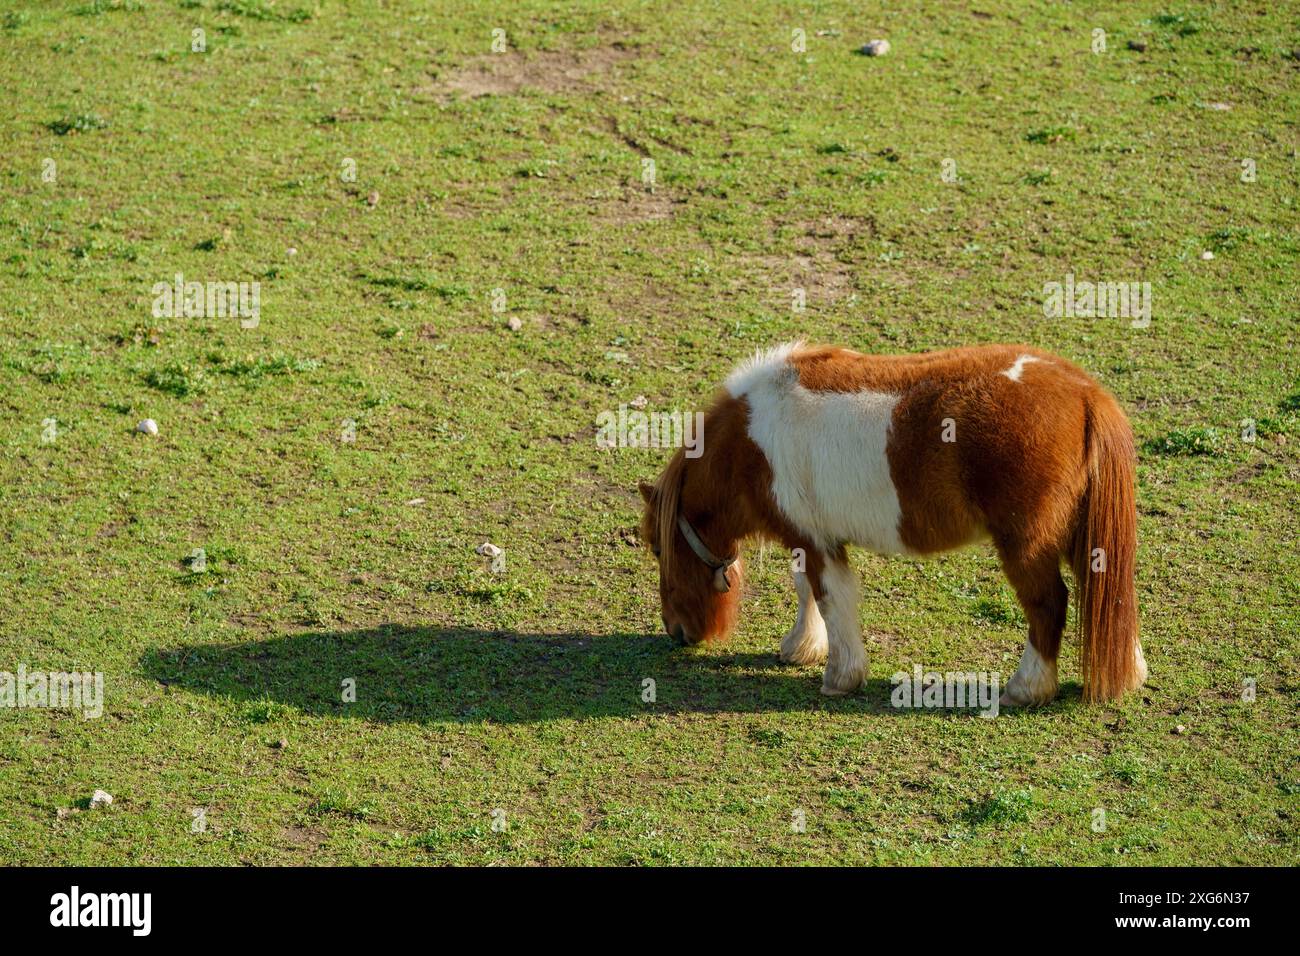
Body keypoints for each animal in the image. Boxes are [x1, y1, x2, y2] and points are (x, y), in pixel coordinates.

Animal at [638, 342, 1146, 706]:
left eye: (659, 549)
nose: (676, 632)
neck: (753, 440)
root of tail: (1085, 393)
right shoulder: (809, 537)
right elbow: (806, 591)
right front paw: (802, 647)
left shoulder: (817, 542)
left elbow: (830, 597)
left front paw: (841, 676)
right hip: (1082, 537)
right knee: (1108, 592)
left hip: (1027, 543)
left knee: (1048, 603)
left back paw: (1026, 688)